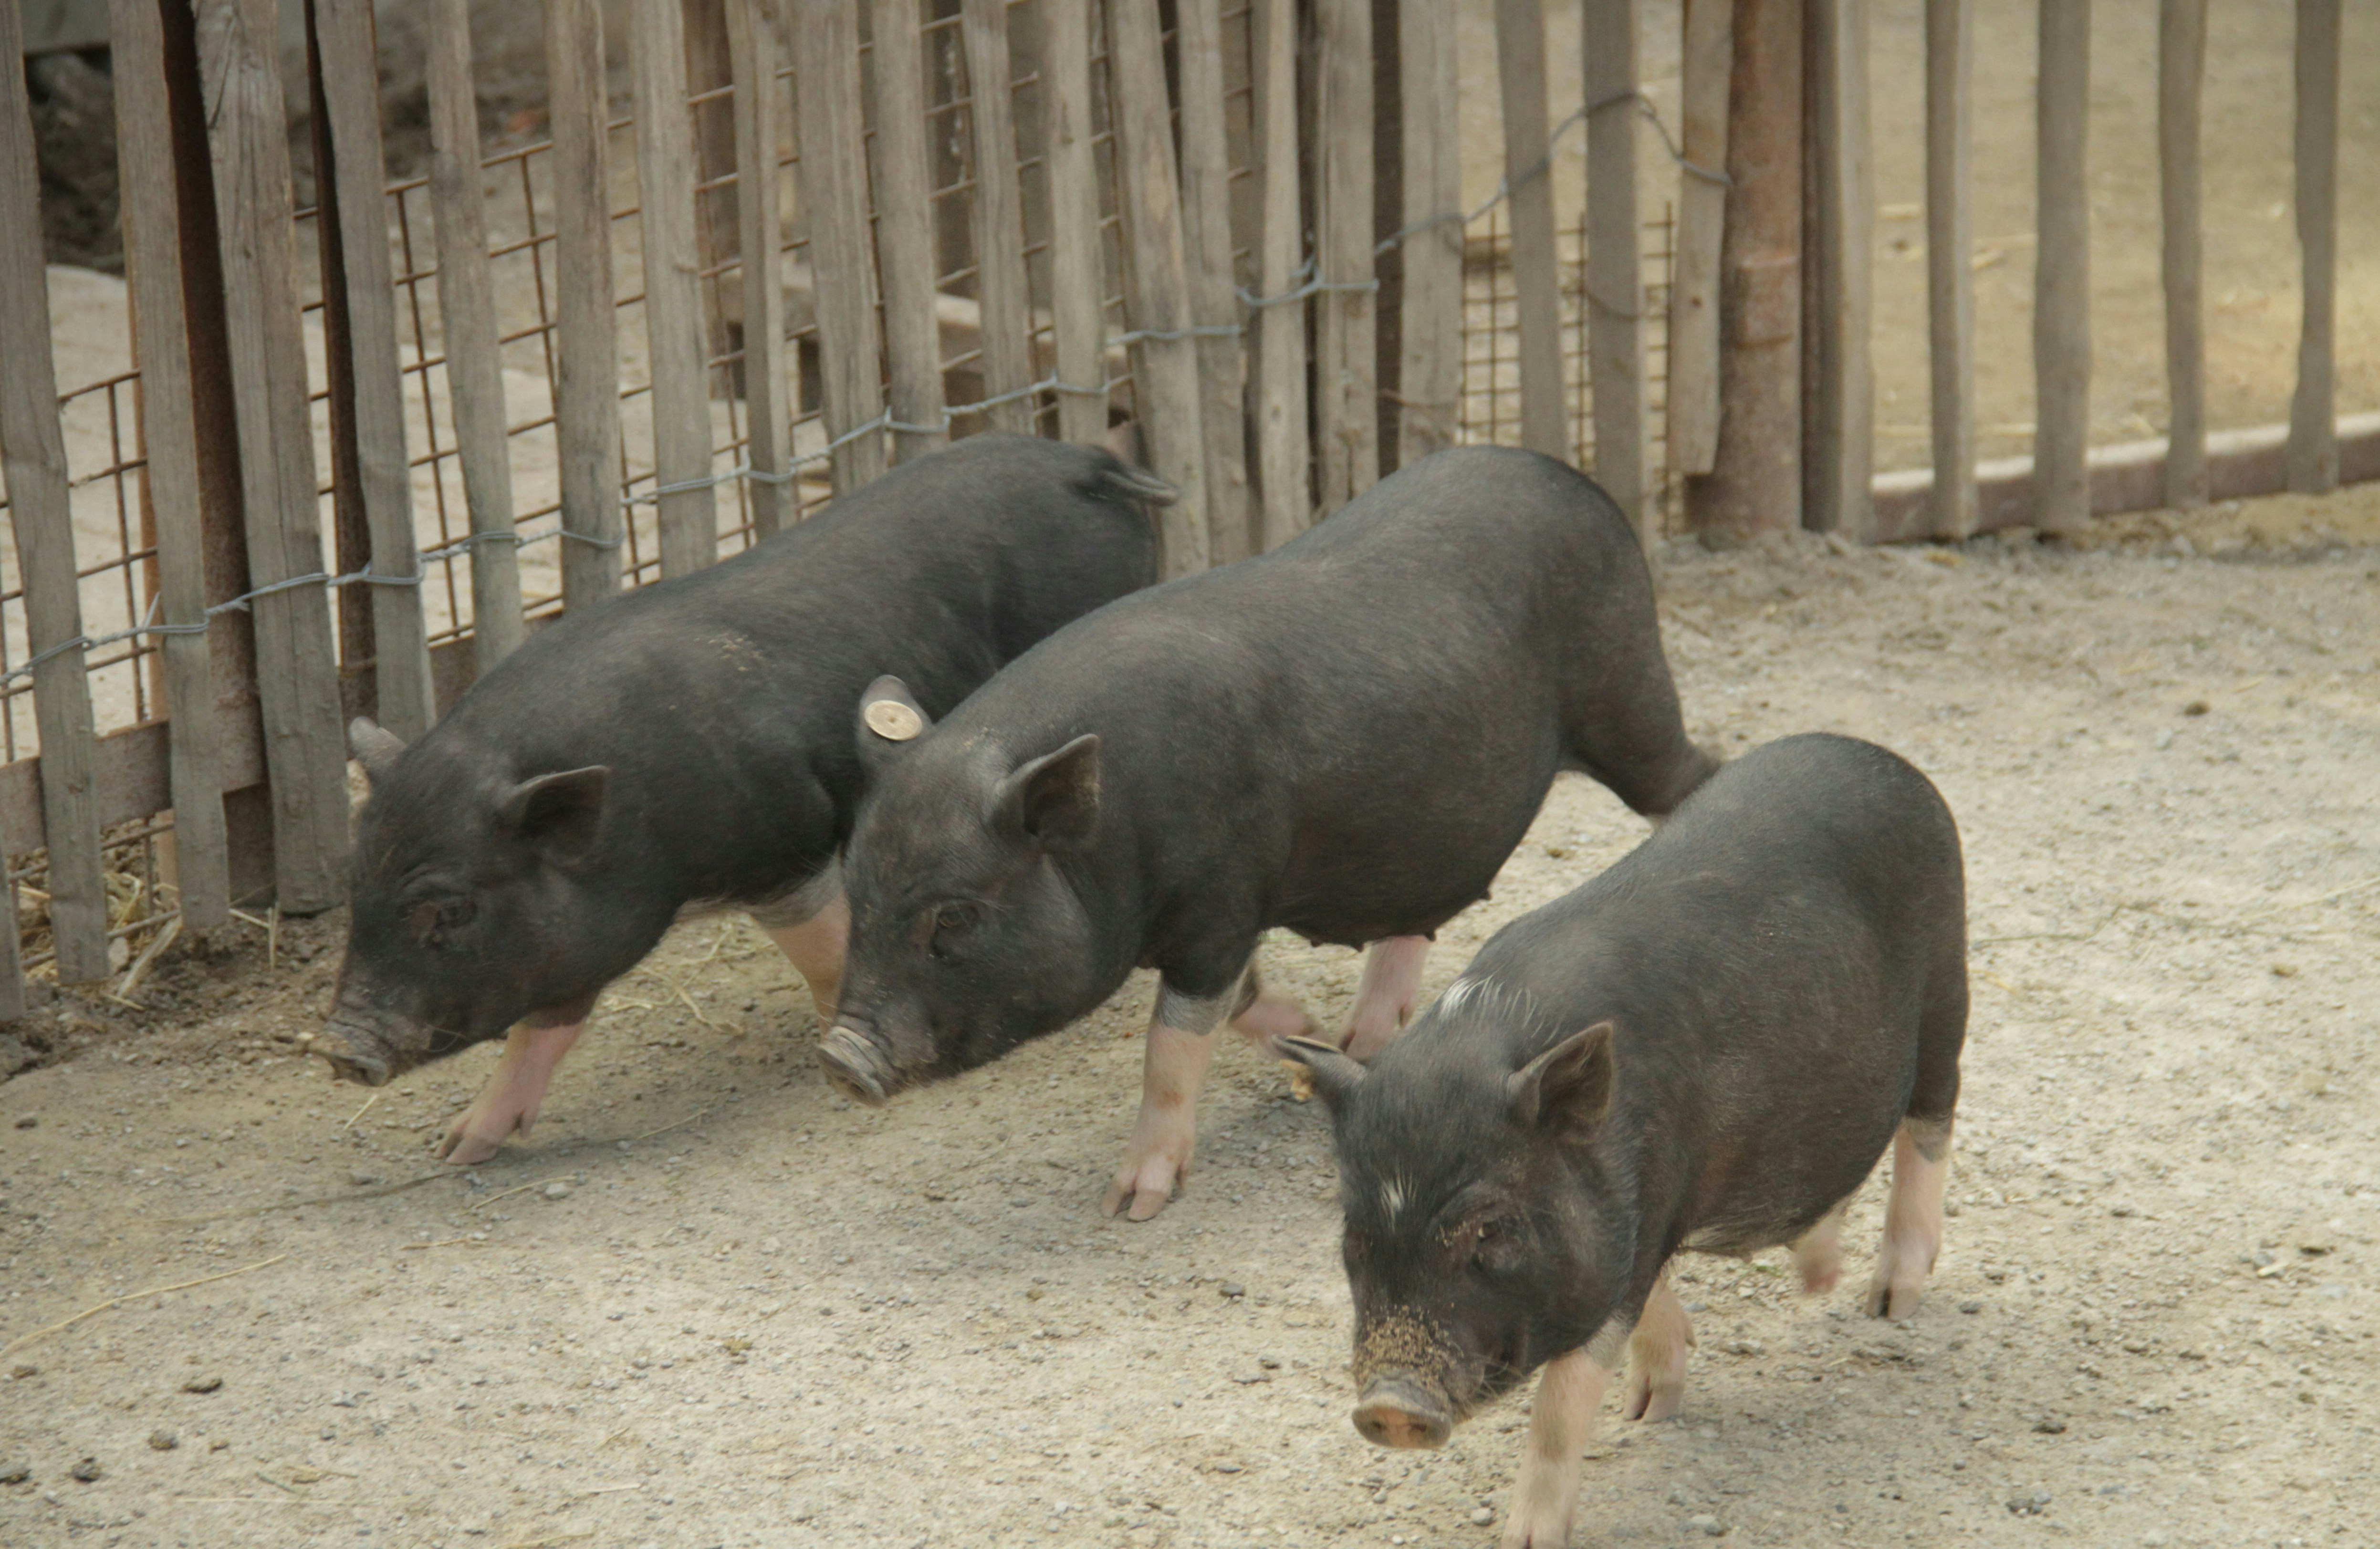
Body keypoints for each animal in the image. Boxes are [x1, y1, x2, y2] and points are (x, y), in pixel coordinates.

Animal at [316, 434, 1168, 1162]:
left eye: (450, 907)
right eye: (357, 887)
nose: (340, 1047)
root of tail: (1085, 460)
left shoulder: (786, 841)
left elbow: (823, 946)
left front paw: (833, 1054)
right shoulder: (581, 927)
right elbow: (547, 1016)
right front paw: (460, 1146)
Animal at [821, 446, 1720, 1219]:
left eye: (956, 915)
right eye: (859, 896)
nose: (840, 1057)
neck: (1113, 830)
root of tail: (1567, 475)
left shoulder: (1220, 902)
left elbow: (1171, 1044)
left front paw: (1130, 1204)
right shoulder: (1227, 921)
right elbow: (1240, 1005)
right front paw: (1311, 1036)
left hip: (1627, 690)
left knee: (1687, 776)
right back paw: (1363, 1039)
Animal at [1277, 732, 1967, 1549]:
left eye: (1492, 1226)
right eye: (1356, 1235)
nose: (1390, 1403)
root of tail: (1882, 758)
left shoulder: (1644, 1209)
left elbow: (1562, 1400)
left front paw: (1529, 1535)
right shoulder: (1637, 1217)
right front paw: (1650, 1409)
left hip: (1946, 998)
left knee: (1930, 1128)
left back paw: (1889, 1303)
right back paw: (1818, 1283)